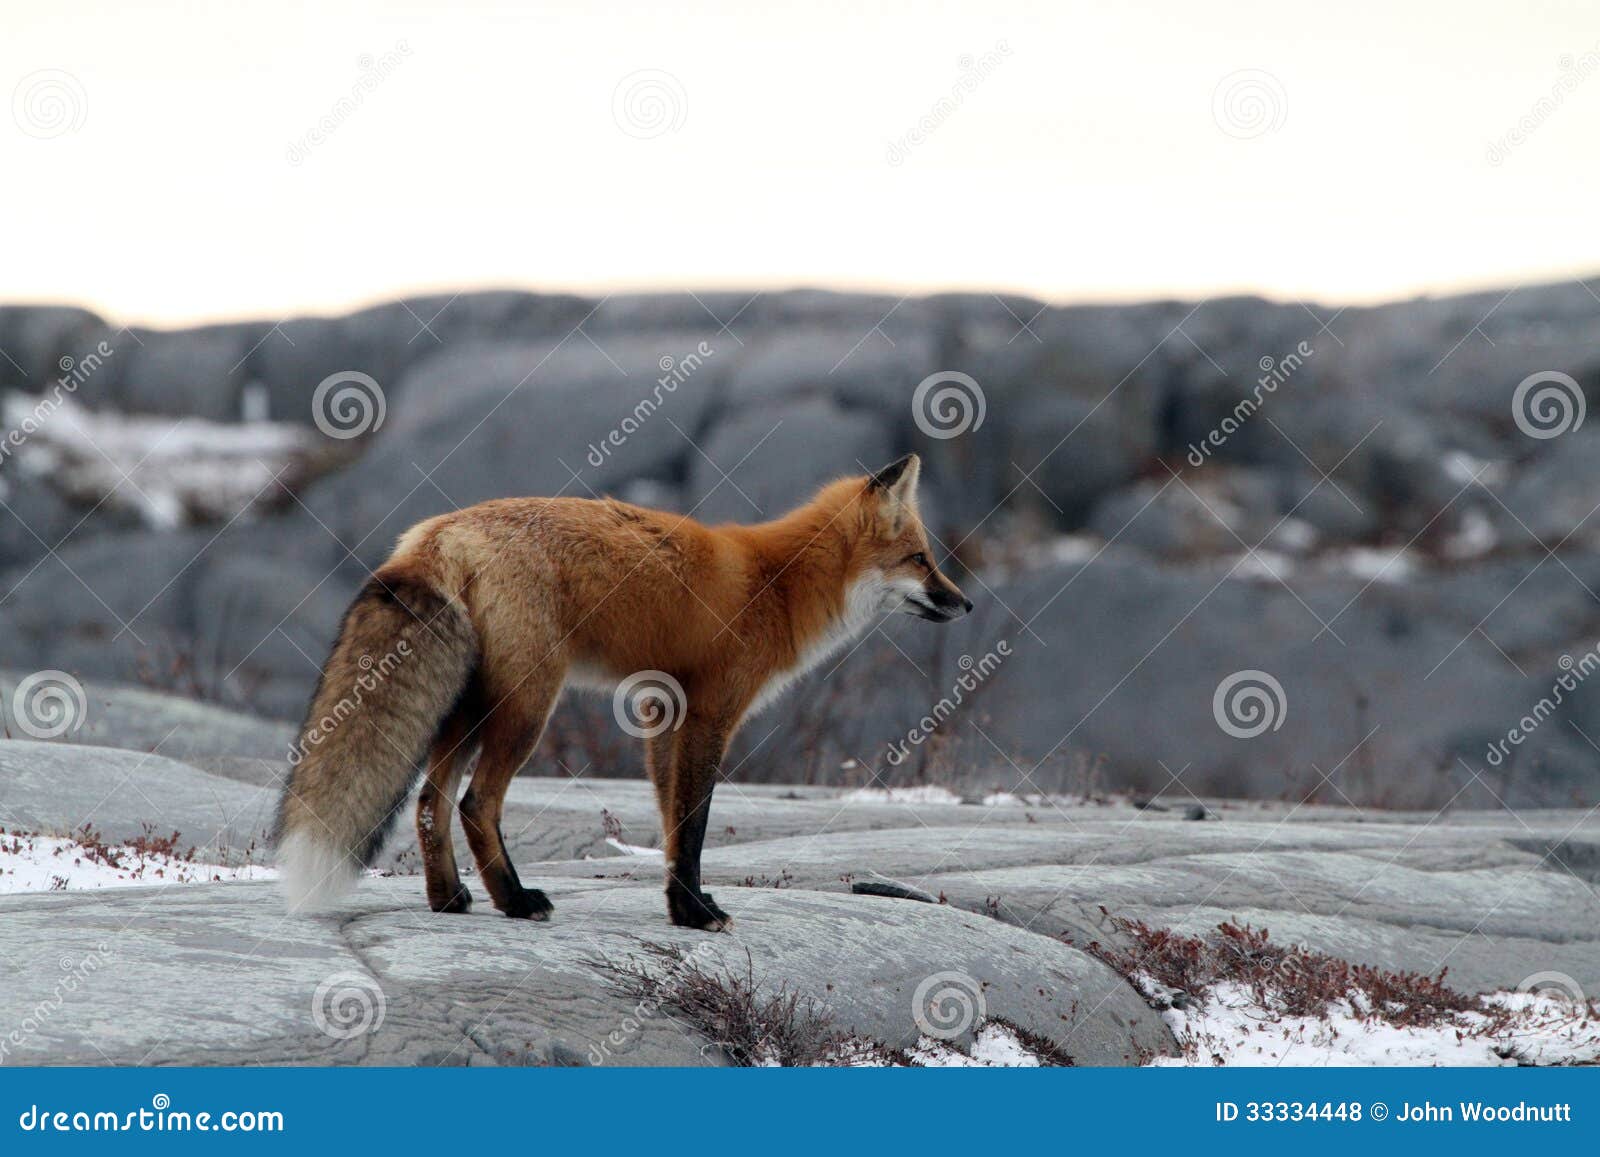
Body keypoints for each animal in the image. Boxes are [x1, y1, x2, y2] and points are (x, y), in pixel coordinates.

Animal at [274, 452, 970, 930]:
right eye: (920, 559)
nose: (965, 603)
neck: (775, 584)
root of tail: (438, 532)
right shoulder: (710, 714)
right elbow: (693, 823)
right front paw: (695, 916)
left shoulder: (662, 714)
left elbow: (671, 828)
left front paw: (684, 904)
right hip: (526, 706)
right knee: (475, 804)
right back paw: (517, 901)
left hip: (468, 708)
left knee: (429, 802)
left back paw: (449, 899)